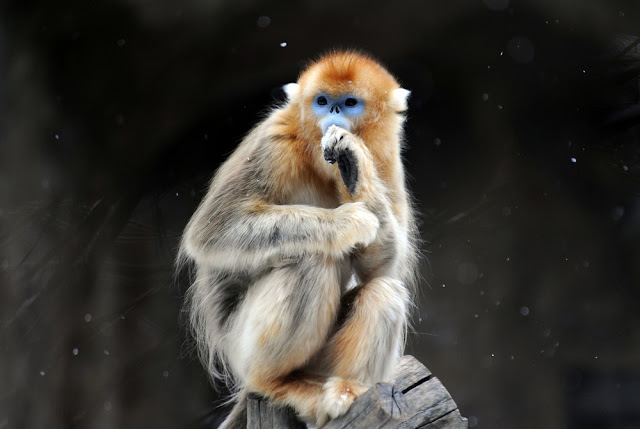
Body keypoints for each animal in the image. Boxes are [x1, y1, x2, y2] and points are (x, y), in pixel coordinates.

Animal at [178, 51, 419, 427]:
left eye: (349, 103)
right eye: (322, 101)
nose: (332, 112)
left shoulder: (387, 158)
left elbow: (383, 269)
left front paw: (355, 163)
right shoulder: (273, 142)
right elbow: (212, 232)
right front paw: (348, 221)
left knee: (385, 291)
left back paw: (345, 389)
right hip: (242, 346)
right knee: (312, 258)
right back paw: (275, 382)